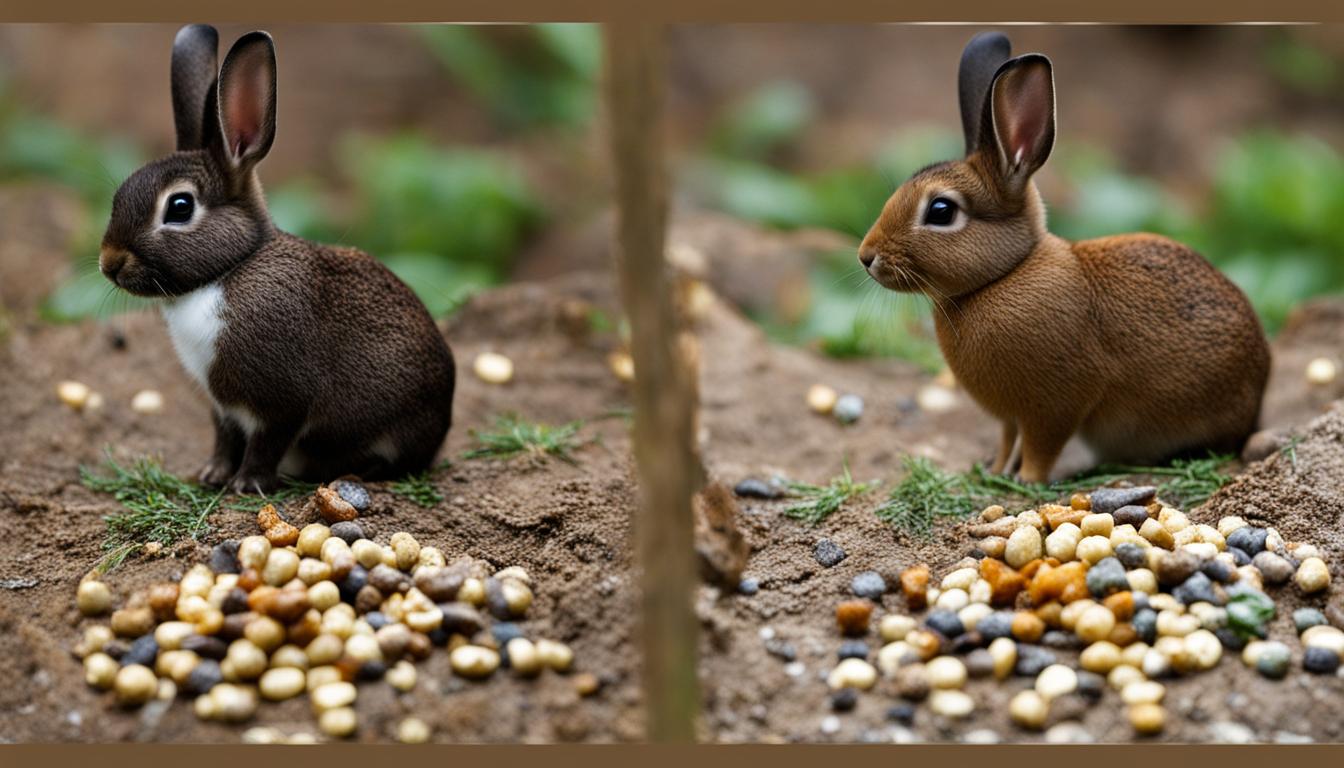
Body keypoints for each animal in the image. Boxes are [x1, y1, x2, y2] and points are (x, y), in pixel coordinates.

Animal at [99, 25, 456, 493]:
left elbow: (267, 440)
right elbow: (224, 438)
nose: (108, 263)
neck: (229, 270)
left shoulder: (282, 400)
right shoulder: (222, 408)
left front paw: (248, 484)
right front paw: (212, 474)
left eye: (179, 207)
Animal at [857, 31, 1270, 483]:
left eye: (941, 211)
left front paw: (1026, 479)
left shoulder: (1055, 405)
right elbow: (1008, 439)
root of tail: (1259, 390)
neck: (1004, 275)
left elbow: (1042, 445)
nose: (866, 256)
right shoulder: (1011, 417)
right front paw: (995, 471)